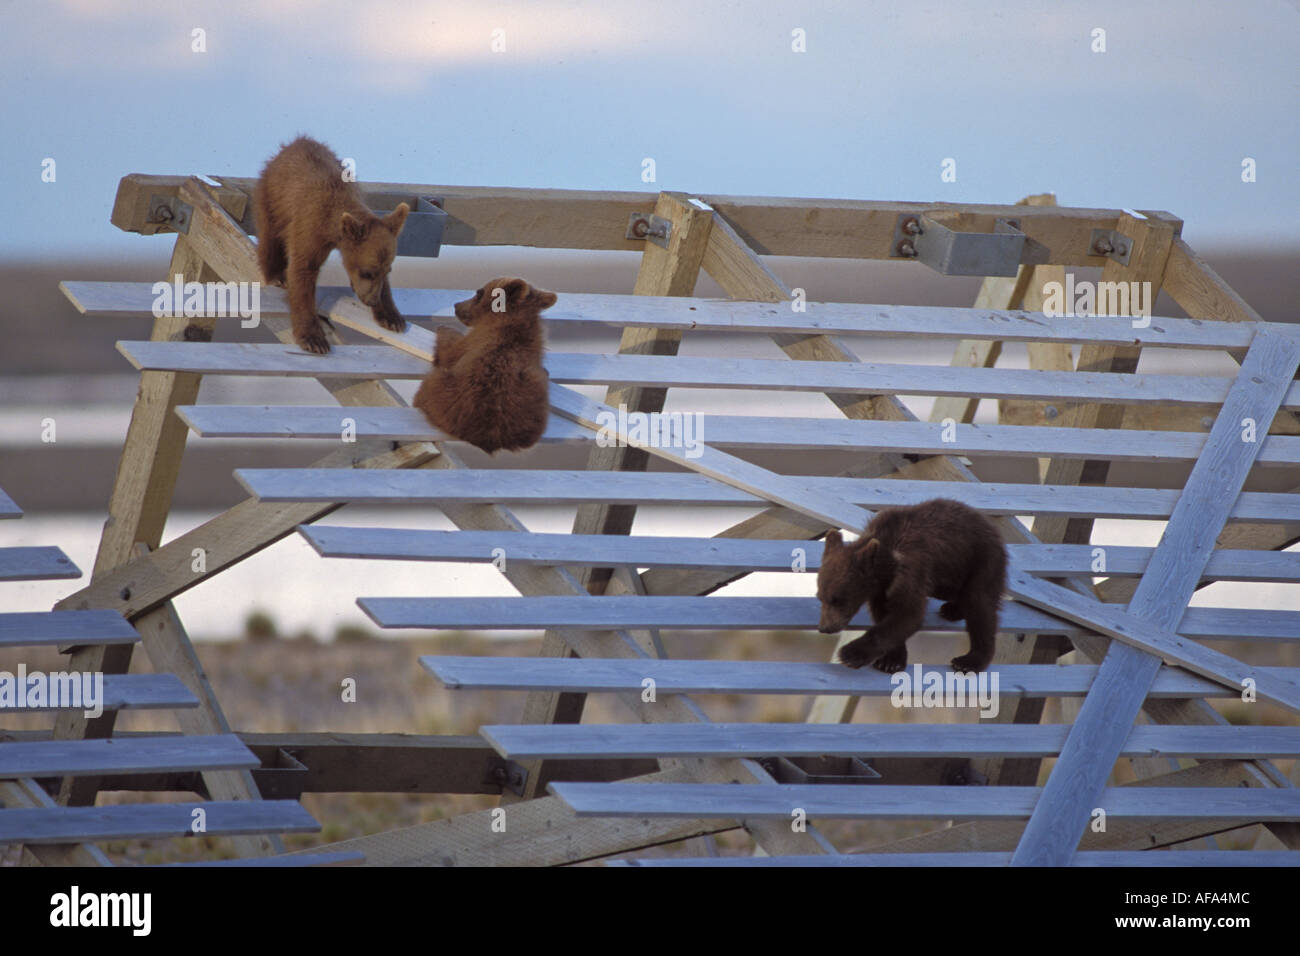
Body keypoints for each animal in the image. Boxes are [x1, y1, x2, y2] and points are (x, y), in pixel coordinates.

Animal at [254, 136, 409, 354]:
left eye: (387, 270)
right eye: (366, 272)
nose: (371, 300)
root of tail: (292, 143)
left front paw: (392, 317)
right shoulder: (311, 226)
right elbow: (303, 271)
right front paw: (314, 339)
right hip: (272, 195)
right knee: (270, 235)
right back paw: (276, 274)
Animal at [413, 277, 553, 454]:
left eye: (478, 292)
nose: (456, 305)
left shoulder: (474, 339)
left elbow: (450, 350)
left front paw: (445, 328)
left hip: (440, 389)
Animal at [816, 498, 1007, 674]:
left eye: (837, 599)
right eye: (820, 597)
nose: (825, 628)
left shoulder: (912, 567)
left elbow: (908, 613)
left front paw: (850, 653)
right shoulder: (882, 588)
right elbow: (886, 614)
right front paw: (891, 660)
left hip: (982, 559)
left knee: (980, 605)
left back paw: (968, 660)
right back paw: (953, 609)